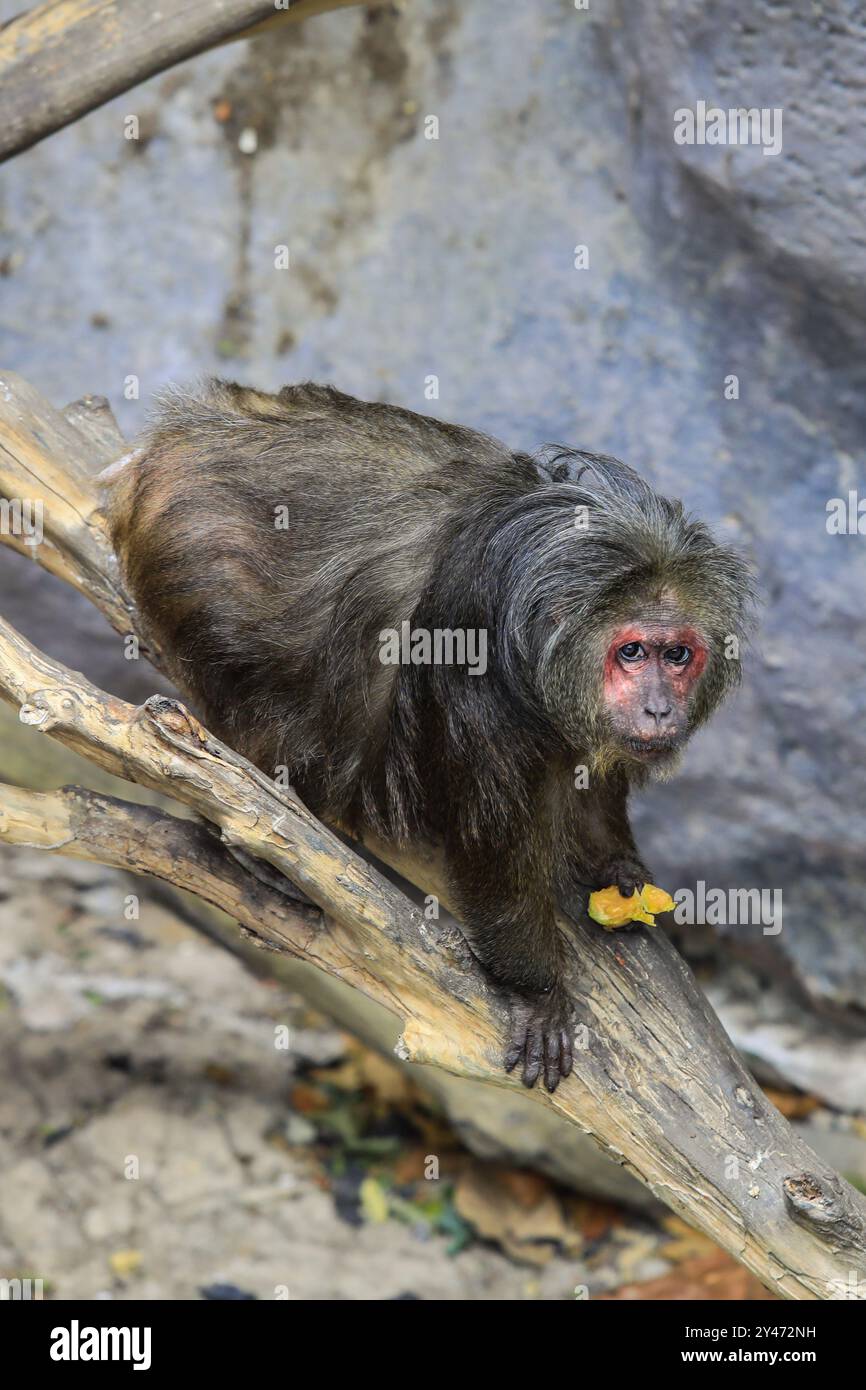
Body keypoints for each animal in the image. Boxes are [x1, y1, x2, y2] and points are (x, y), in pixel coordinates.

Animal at [107, 380, 754, 1093]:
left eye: (678, 656)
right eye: (633, 652)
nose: (661, 709)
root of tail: (176, 440)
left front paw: (613, 864)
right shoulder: (478, 665)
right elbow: (494, 850)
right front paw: (537, 993)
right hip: (192, 554)